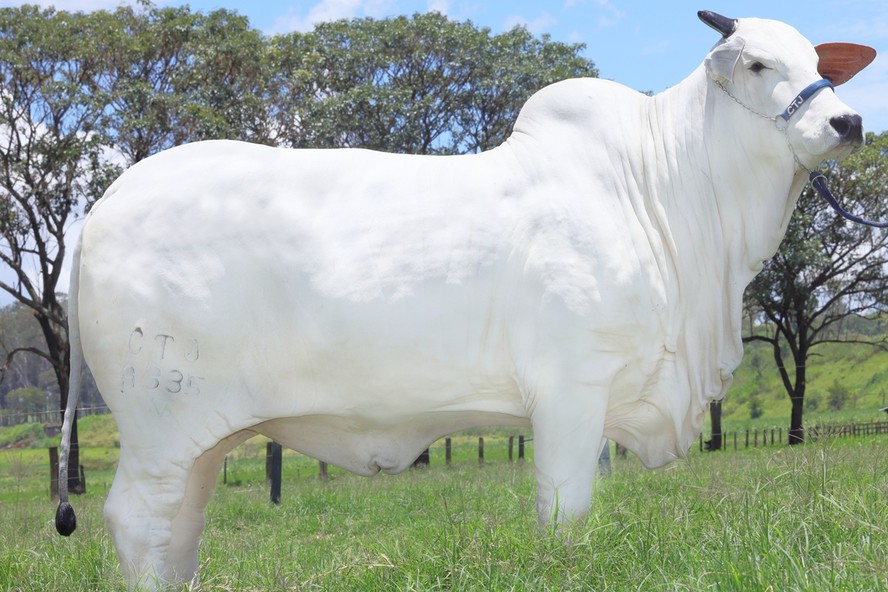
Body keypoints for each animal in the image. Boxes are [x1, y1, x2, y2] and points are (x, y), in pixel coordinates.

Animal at [55, 10, 875, 590]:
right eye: (758, 63)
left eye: (818, 64)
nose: (847, 121)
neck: (665, 192)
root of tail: (103, 206)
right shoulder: (570, 390)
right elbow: (565, 513)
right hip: (159, 422)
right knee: (138, 522)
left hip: (198, 438)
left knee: (179, 531)